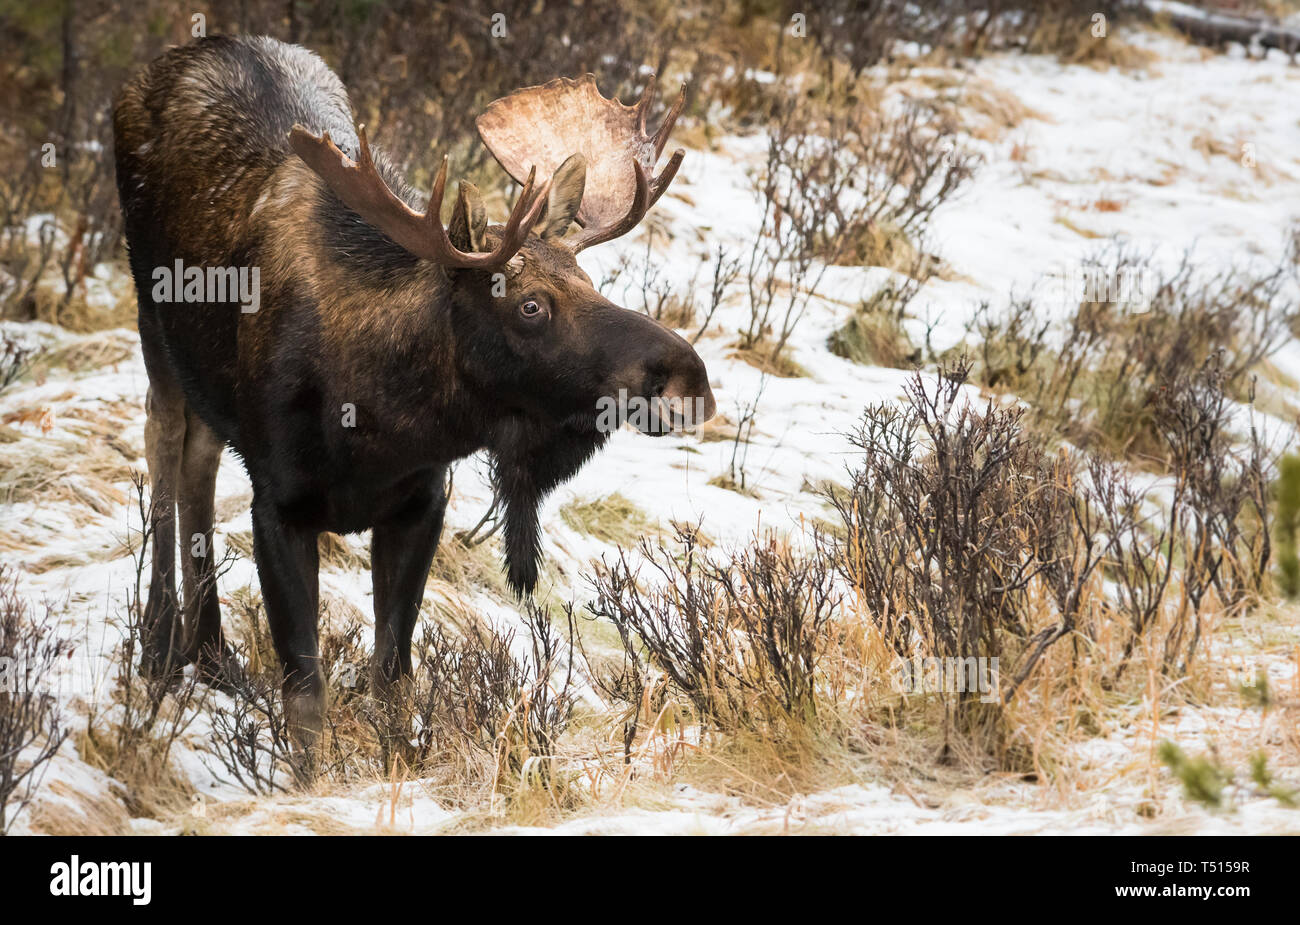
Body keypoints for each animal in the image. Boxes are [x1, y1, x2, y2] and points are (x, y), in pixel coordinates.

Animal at [112, 35, 714, 752]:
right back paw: (157, 649)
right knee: (165, 447)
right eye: (531, 306)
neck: (379, 428)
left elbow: (393, 676)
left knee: (199, 459)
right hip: (154, 323)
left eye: (591, 281)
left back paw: (210, 656)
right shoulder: (277, 502)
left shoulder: (421, 501)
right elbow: (306, 695)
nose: (688, 377)